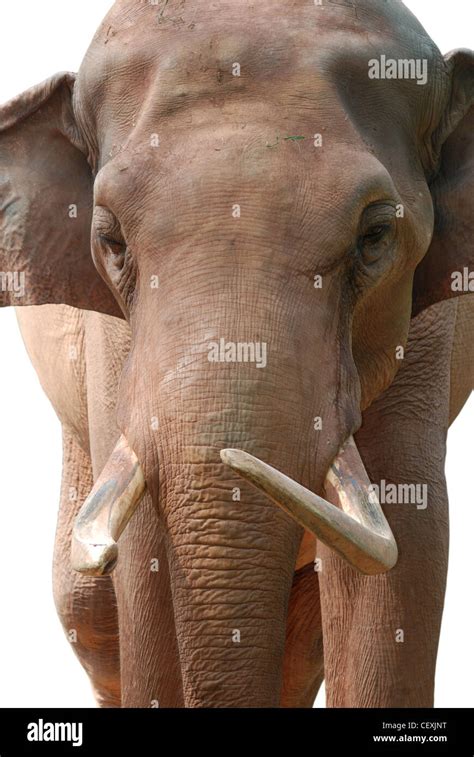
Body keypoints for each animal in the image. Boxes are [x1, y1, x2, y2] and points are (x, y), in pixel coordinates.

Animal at [1, 0, 473, 708]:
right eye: (110, 240)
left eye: (376, 236)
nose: (234, 456)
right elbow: (143, 561)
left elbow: (404, 544)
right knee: (88, 608)